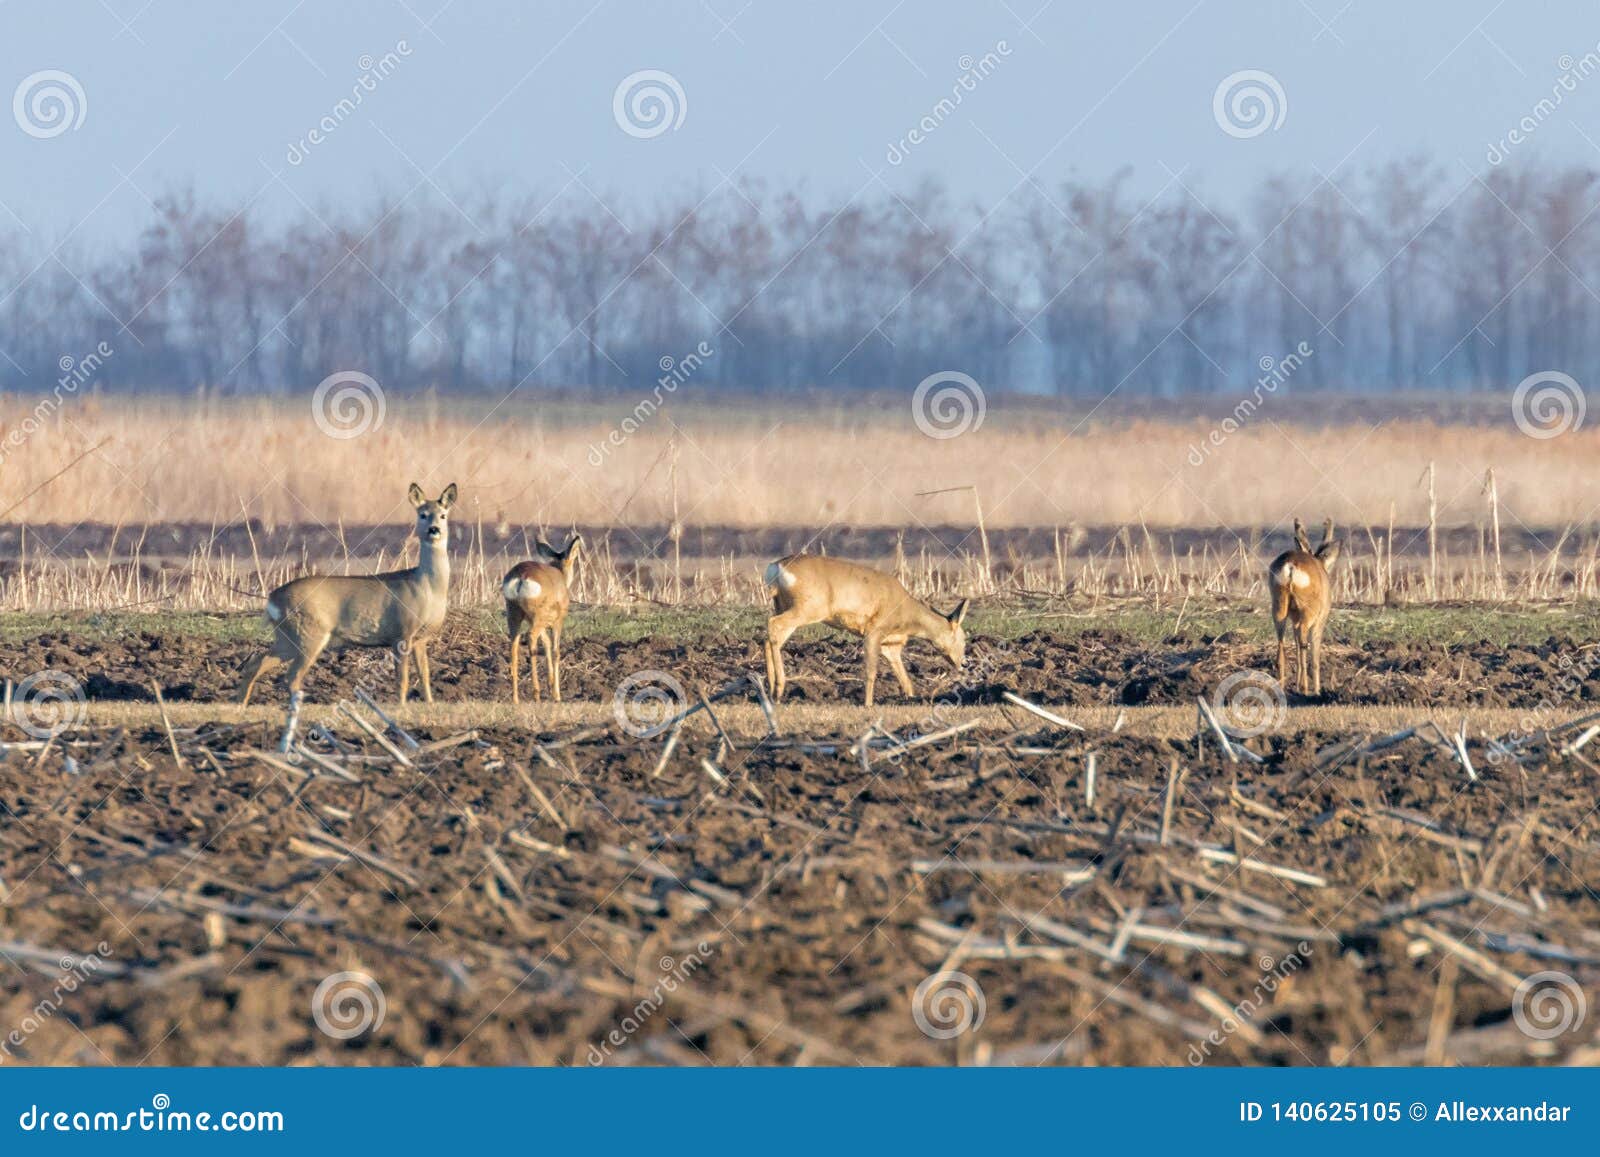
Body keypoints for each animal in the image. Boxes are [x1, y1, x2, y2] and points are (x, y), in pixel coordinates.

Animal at [237, 483, 457, 706]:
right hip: (309, 632)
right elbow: (402, 679)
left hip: (287, 637)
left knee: (255, 664)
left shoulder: (421, 638)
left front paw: (430, 704)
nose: (434, 529)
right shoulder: (402, 632)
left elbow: (425, 675)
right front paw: (401, 706)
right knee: (291, 676)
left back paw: (241, 705)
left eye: (443, 515)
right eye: (422, 514)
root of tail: (273, 599)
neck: (427, 587)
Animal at [501, 533, 582, 703]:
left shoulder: (541, 623)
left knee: (514, 646)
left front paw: (551, 686)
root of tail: (522, 576)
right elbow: (555, 650)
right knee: (531, 638)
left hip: (514, 614)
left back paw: (515, 698)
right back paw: (536, 694)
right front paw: (557, 695)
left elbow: (546, 643)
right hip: (537, 617)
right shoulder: (557, 622)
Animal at [763, 554, 968, 707]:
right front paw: (868, 704)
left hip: (783, 606)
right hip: (808, 609)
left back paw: (771, 691)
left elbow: (905, 680)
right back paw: (778, 689)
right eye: (964, 638)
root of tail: (776, 567)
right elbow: (871, 671)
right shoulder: (873, 631)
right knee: (773, 624)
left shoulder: (891, 646)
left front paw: (911, 699)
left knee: (770, 638)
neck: (905, 613)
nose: (963, 664)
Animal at [1268, 517, 1341, 696]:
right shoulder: (1319, 621)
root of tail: (1291, 565)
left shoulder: (1294, 619)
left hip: (1279, 610)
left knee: (1282, 646)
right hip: (1309, 614)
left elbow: (1296, 647)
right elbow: (1314, 655)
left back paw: (1283, 687)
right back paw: (1307, 690)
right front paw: (1317, 690)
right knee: (1304, 642)